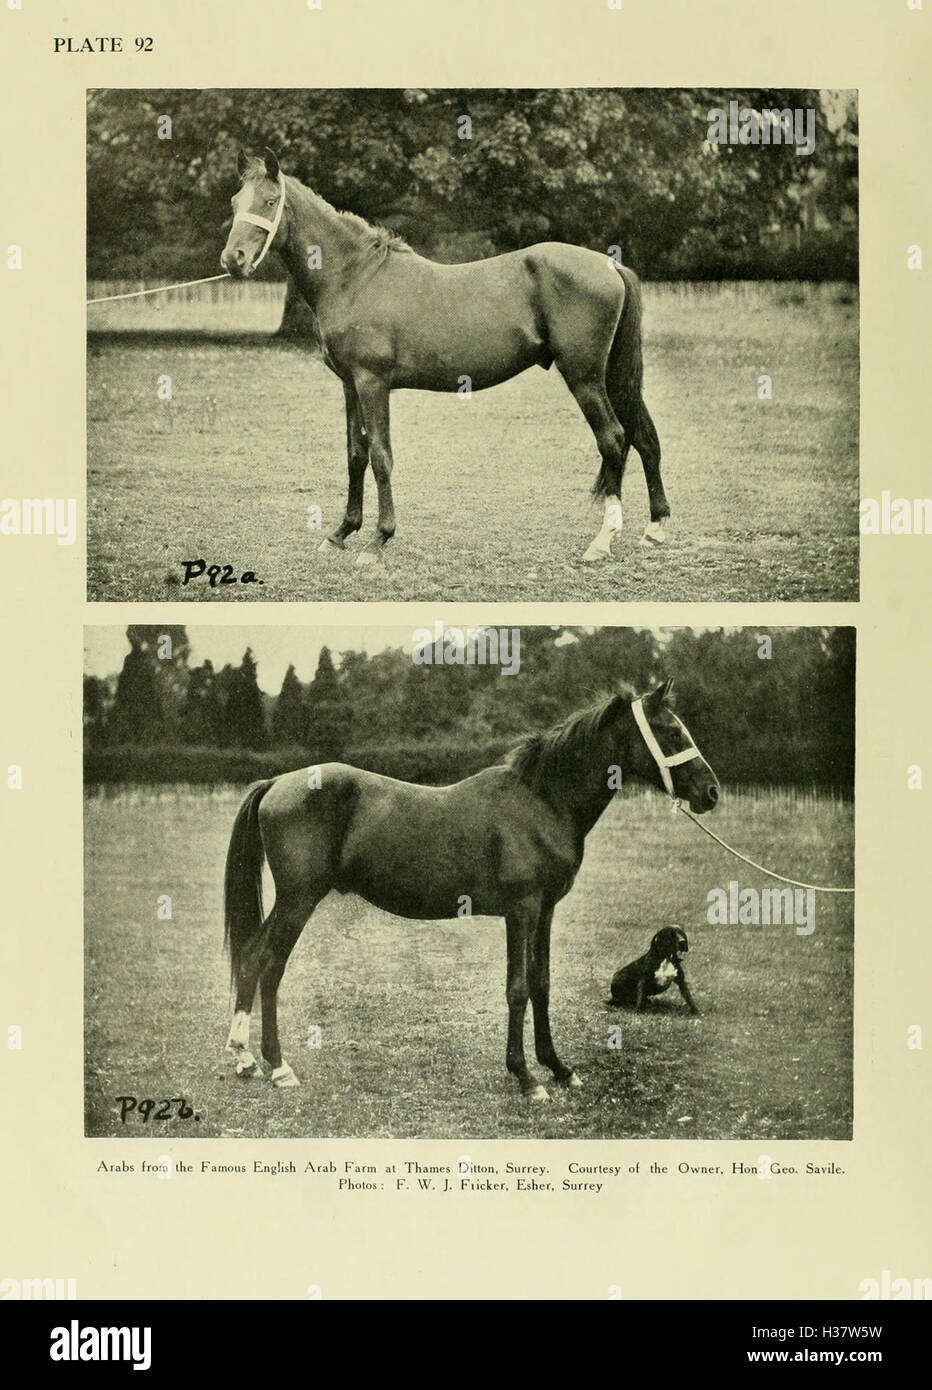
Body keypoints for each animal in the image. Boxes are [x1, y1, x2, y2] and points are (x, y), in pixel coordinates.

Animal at [219, 148, 671, 566]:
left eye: (270, 201)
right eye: (235, 201)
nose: (232, 260)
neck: (355, 277)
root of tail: (610, 266)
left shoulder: (372, 382)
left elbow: (381, 456)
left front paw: (378, 541)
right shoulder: (350, 384)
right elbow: (355, 454)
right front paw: (340, 533)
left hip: (585, 377)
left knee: (613, 439)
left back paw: (602, 542)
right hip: (611, 377)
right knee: (644, 437)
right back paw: (655, 528)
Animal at [222, 679, 719, 1102]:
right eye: (671, 731)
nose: (711, 792)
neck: (541, 801)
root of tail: (276, 782)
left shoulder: (545, 911)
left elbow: (542, 983)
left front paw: (559, 1069)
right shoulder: (521, 910)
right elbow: (517, 989)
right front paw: (526, 1078)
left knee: (256, 961)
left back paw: (248, 1060)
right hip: (297, 900)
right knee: (266, 963)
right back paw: (276, 1065)